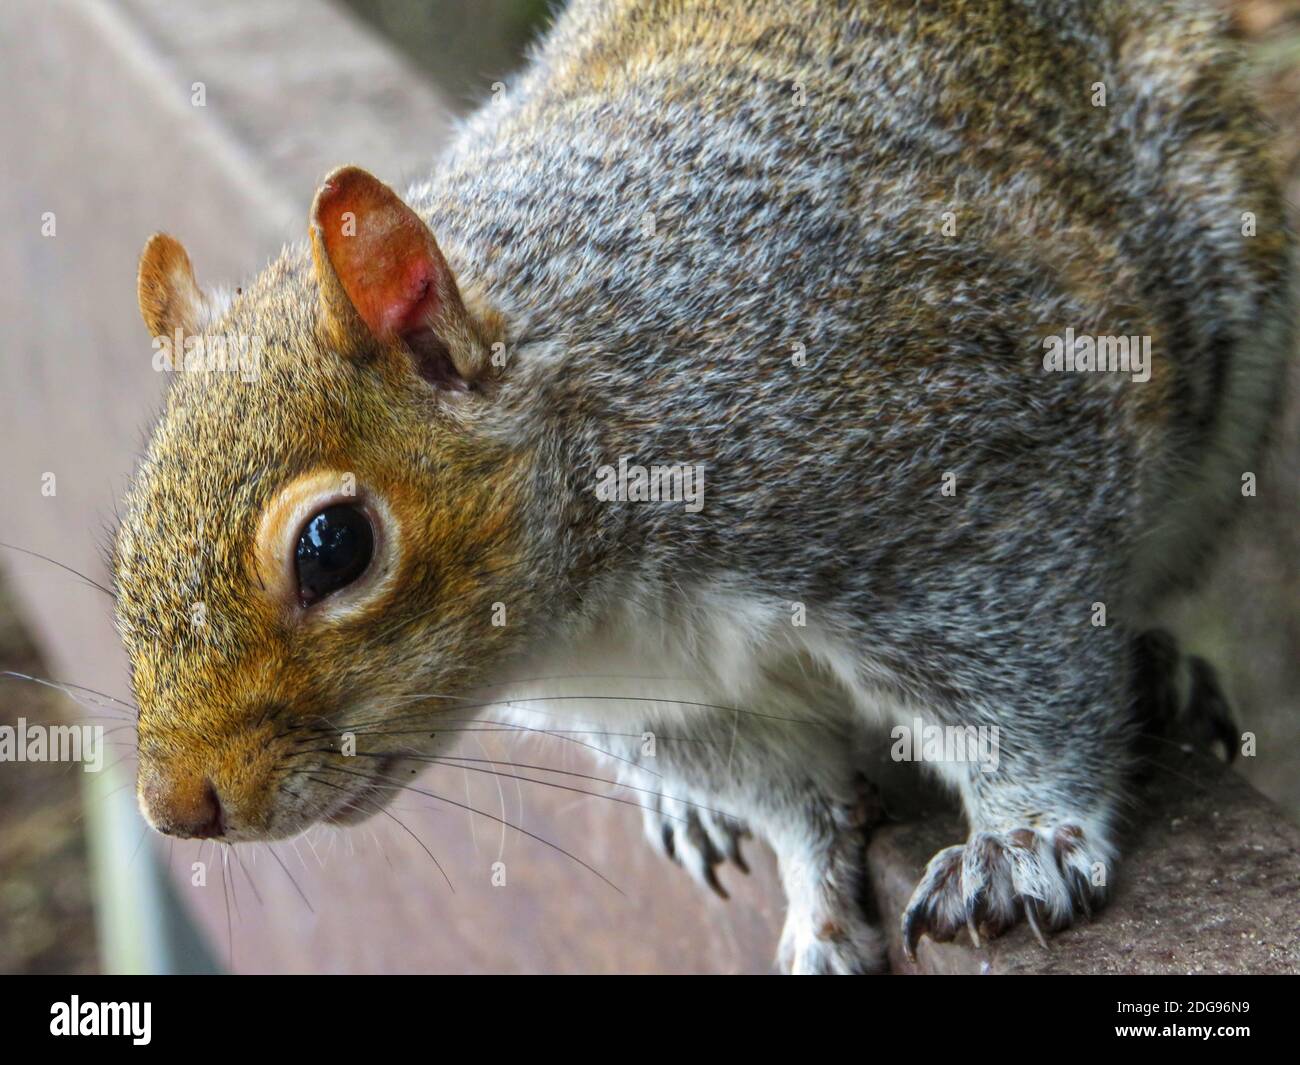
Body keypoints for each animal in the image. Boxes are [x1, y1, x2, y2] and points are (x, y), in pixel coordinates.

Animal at [114, 0, 1292, 973]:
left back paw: (1157, 666)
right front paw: (817, 898)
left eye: (333, 547)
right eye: (122, 546)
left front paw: (1024, 841)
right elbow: (788, 799)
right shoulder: (672, 710)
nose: (178, 808)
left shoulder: (954, 500)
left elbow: (1025, 688)